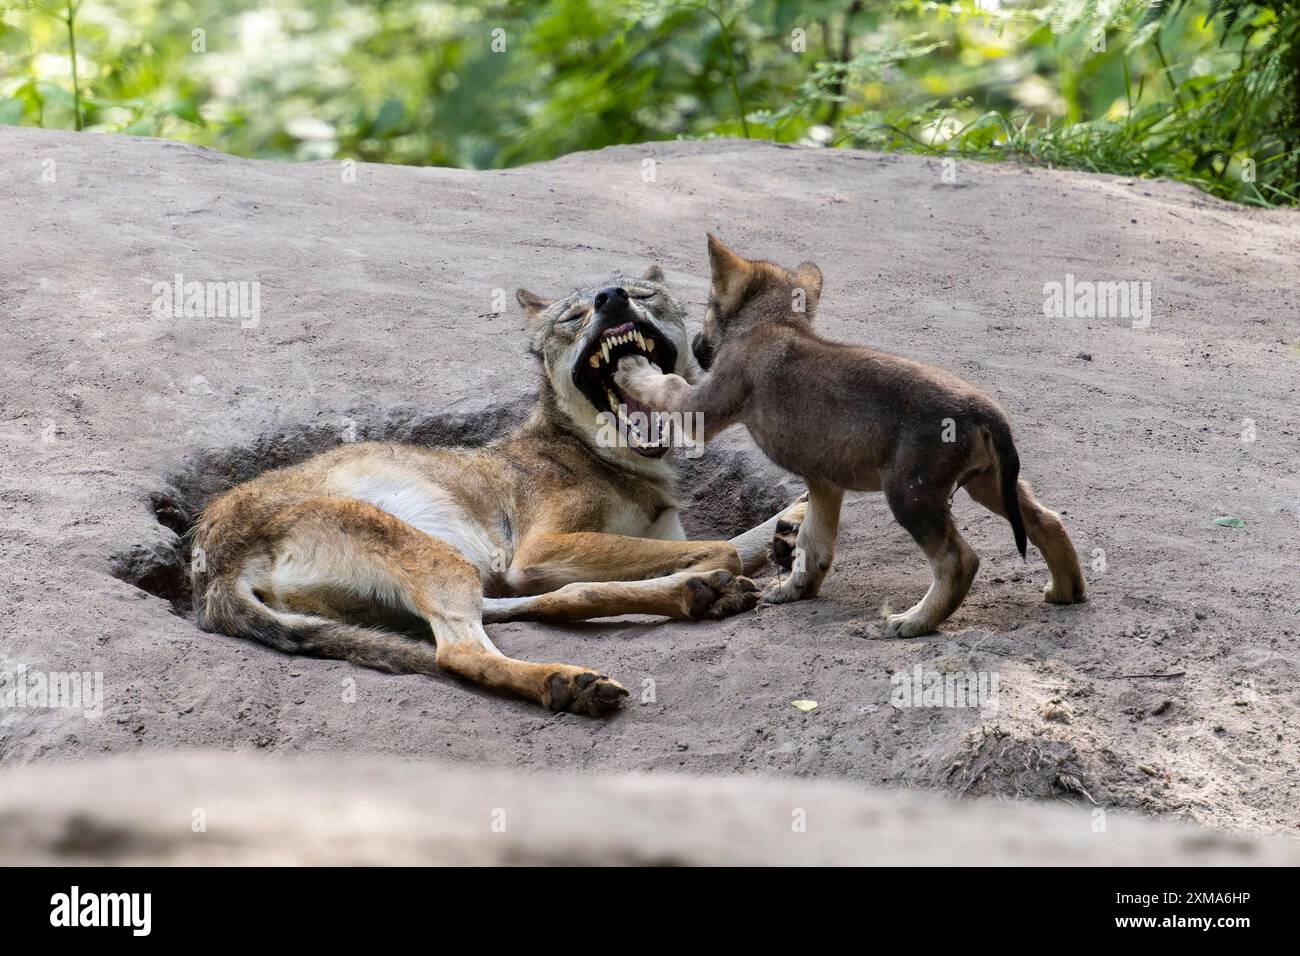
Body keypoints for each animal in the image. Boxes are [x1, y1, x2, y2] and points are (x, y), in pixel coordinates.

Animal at [191, 265, 795, 716]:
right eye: (573, 316)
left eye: (644, 295)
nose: (611, 298)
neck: (605, 457)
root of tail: (210, 568)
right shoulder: (539, 549)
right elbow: (722, 548)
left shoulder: (648, 538)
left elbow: (742, 540)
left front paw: (794, 521)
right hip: (443, 560)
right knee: (458, 653)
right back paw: (569, 682)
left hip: (460, 569)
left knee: (548, 602)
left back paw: (698, 596)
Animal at [615, 236, 1086, 638]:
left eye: (709, 309)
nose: (697, 343)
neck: (775, 322)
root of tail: (985, 411)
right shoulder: (824, 483)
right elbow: (813, 545)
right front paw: (795, 590)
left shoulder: (701, 408)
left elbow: (667, 384)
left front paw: (633, 368)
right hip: (987, 484)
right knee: (1047, 520)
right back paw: (1066, 592)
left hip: (910, 492)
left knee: (958, 560)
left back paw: (914, 622)